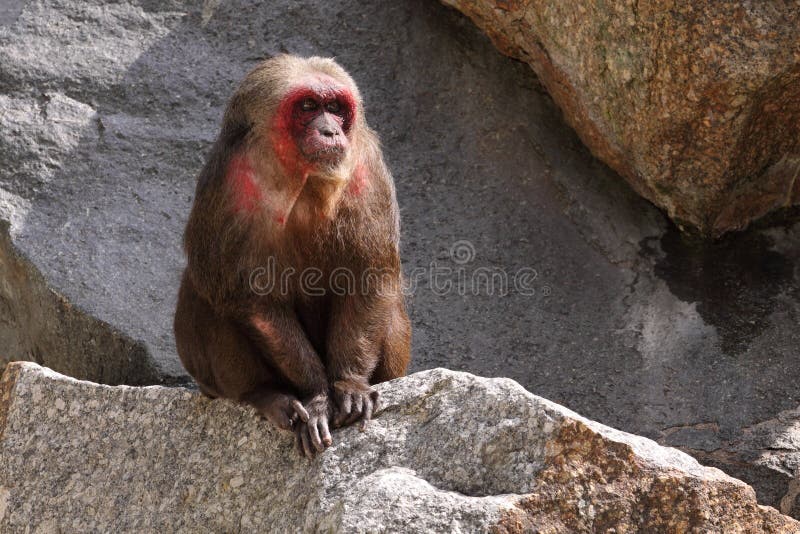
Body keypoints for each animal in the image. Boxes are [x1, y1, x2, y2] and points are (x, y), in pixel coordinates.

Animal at [173, 55, 411, 459]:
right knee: (210, 290)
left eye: (335, 108)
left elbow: (370, 276)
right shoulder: (227, 180)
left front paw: (349, 384)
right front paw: (317, 396)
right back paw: (265, 395)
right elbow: (251, 298)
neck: (302, 177)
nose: (330, 132)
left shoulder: (368, 170)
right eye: (308, 106)